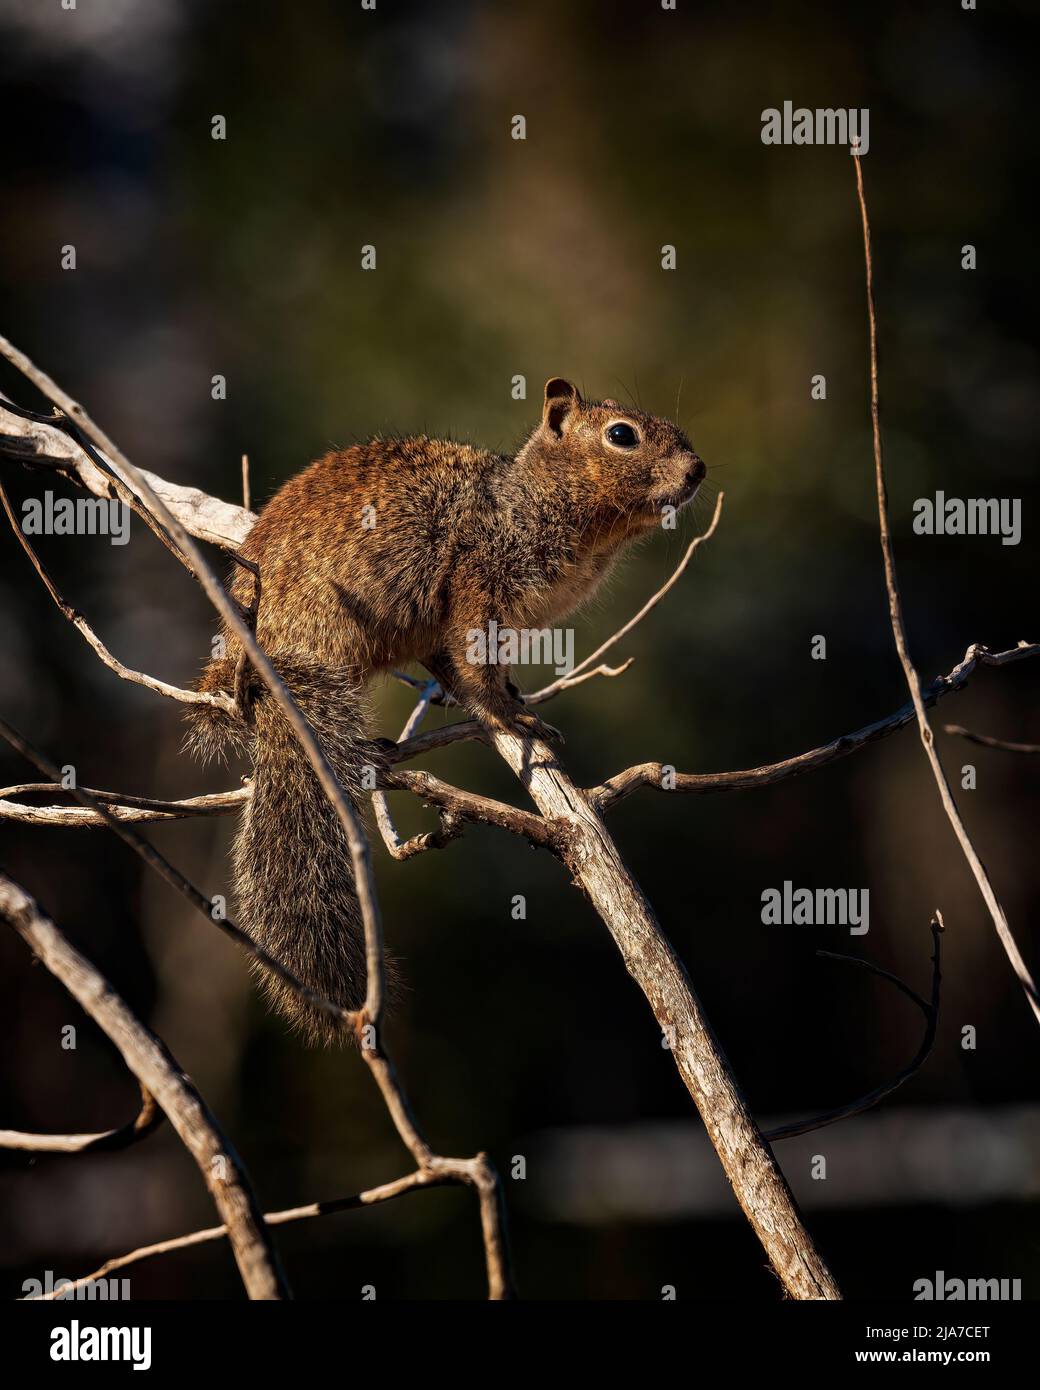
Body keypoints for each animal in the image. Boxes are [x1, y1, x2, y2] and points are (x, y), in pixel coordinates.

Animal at [188, 378, 705, 1043]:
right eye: (622, 435)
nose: (697, 469)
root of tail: (259, 658)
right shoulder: (477, 581)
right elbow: (476, 666)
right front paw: (509, 716)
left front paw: (513, 696)